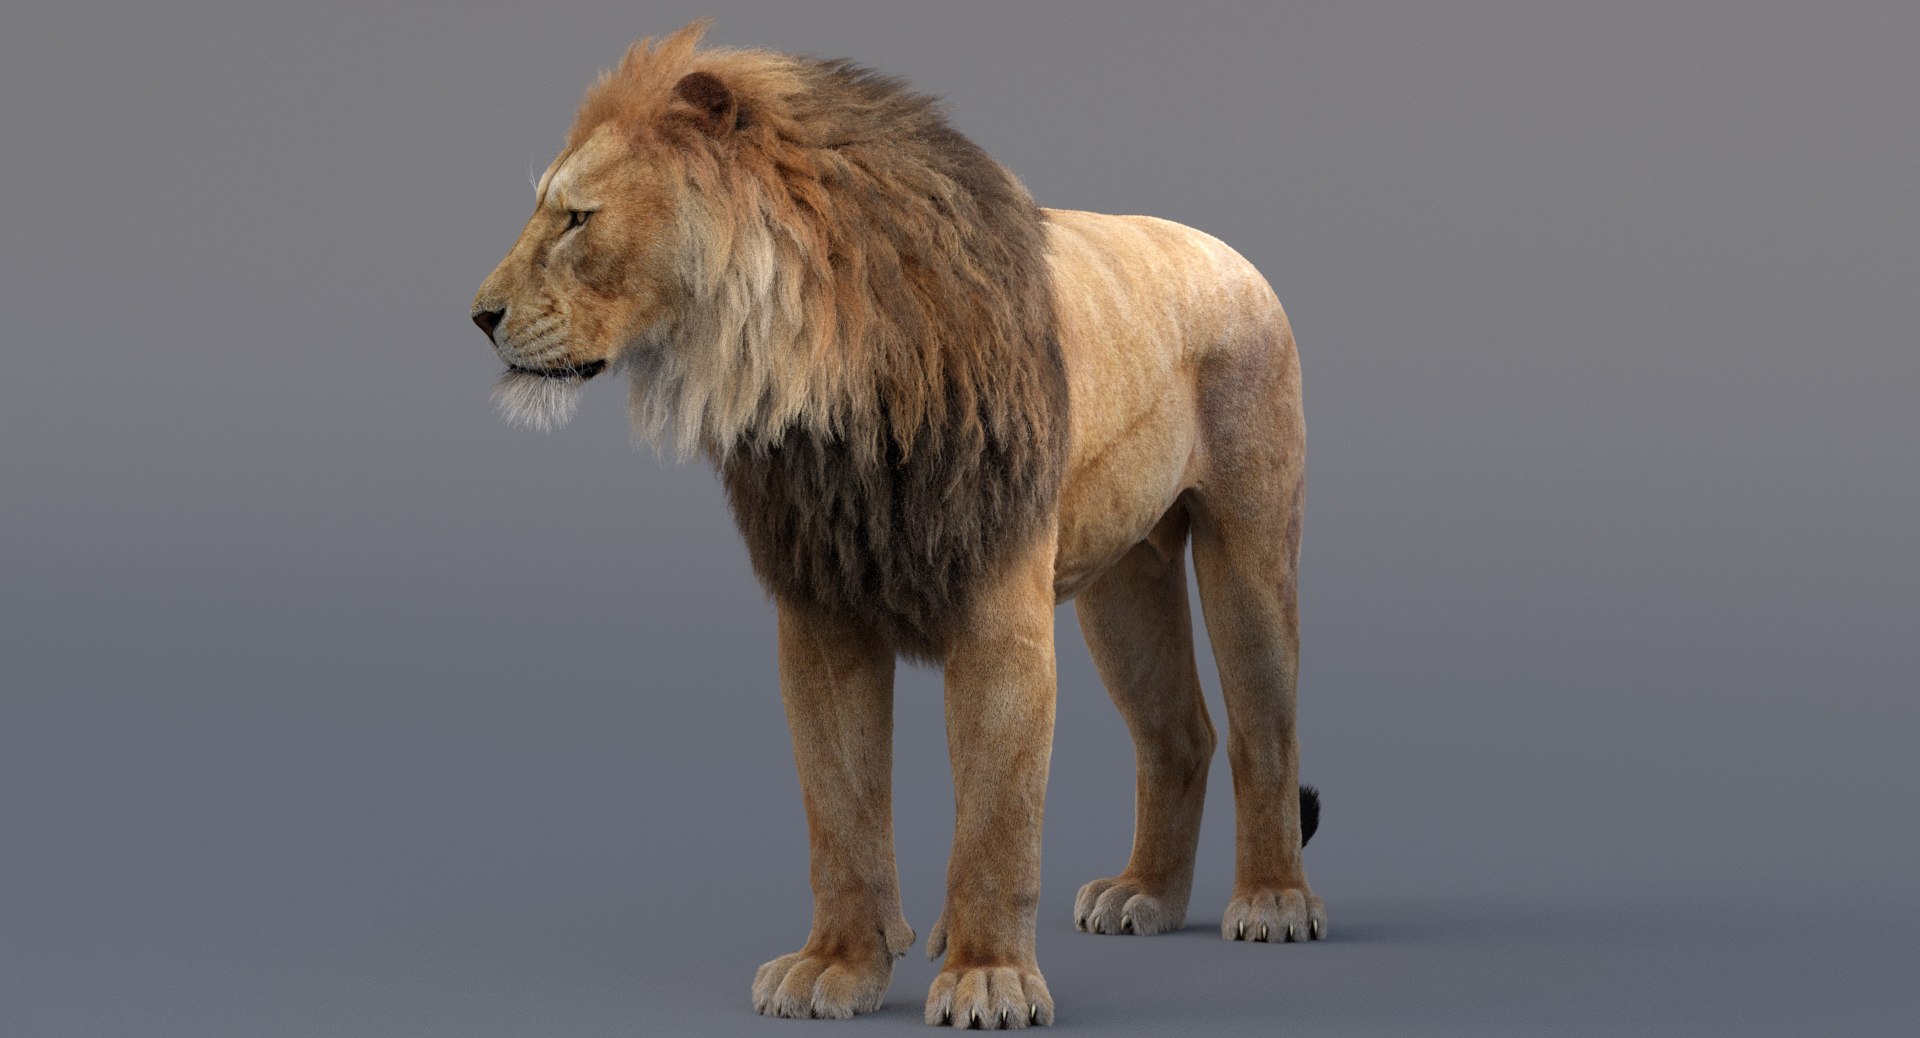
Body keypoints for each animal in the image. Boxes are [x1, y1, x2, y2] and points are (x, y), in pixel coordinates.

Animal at [470, 22, 1322, 1028]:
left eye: (576, 219)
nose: (478, 317)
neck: (822, 376)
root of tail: (1230, 252)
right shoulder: (818, 607)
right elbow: (838, 806)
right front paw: (834, 966)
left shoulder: (999, 605)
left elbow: (996, 814)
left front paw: (988, 979)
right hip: (1123, 581)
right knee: (1178, 731)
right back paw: (1142, 893)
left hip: (1250, 538)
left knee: (1263, 724)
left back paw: (1272, 901)